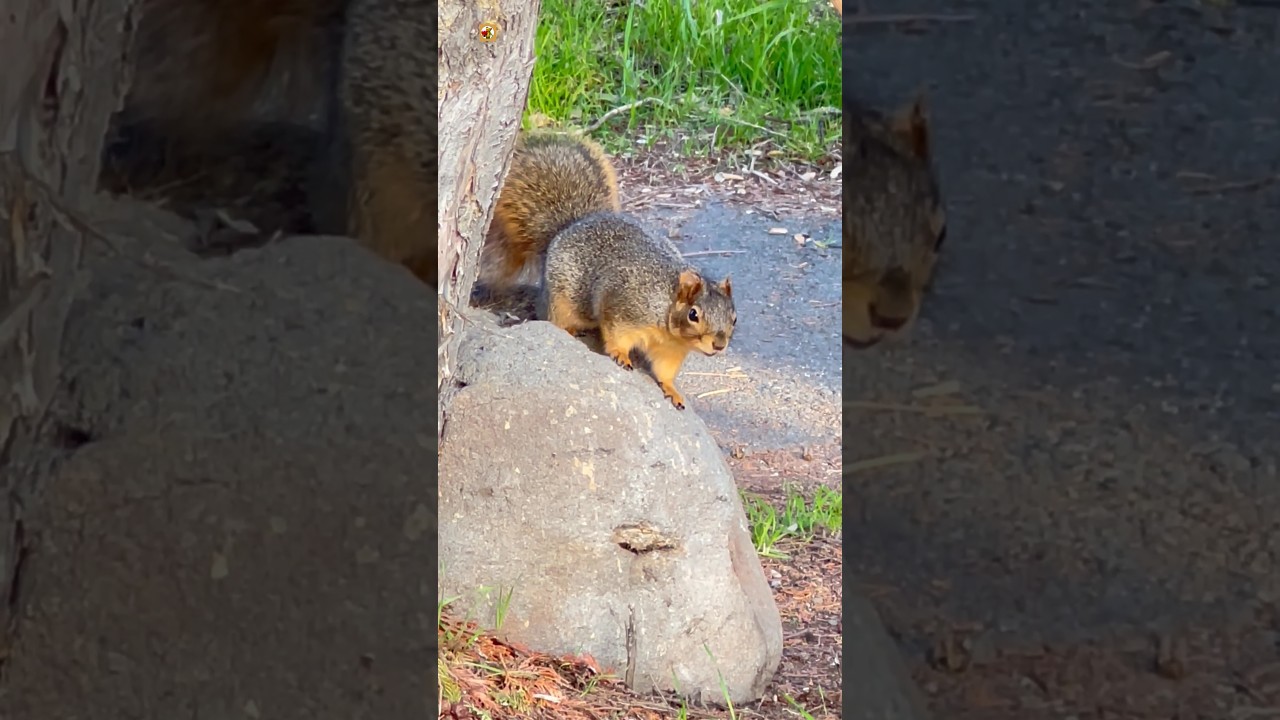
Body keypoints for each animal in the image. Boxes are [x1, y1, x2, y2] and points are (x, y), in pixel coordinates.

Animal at [480, 132, 737, 410]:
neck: (666, 310)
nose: (719, 345)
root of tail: (569, 227)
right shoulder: (624, 308)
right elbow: (616, 335)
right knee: (552, 318)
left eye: (734, 318)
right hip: (561, 298)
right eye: (693, 314)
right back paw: (569, 329)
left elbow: (664, 370)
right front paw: (621, 355)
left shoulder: (671, 350)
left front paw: (672, 390)